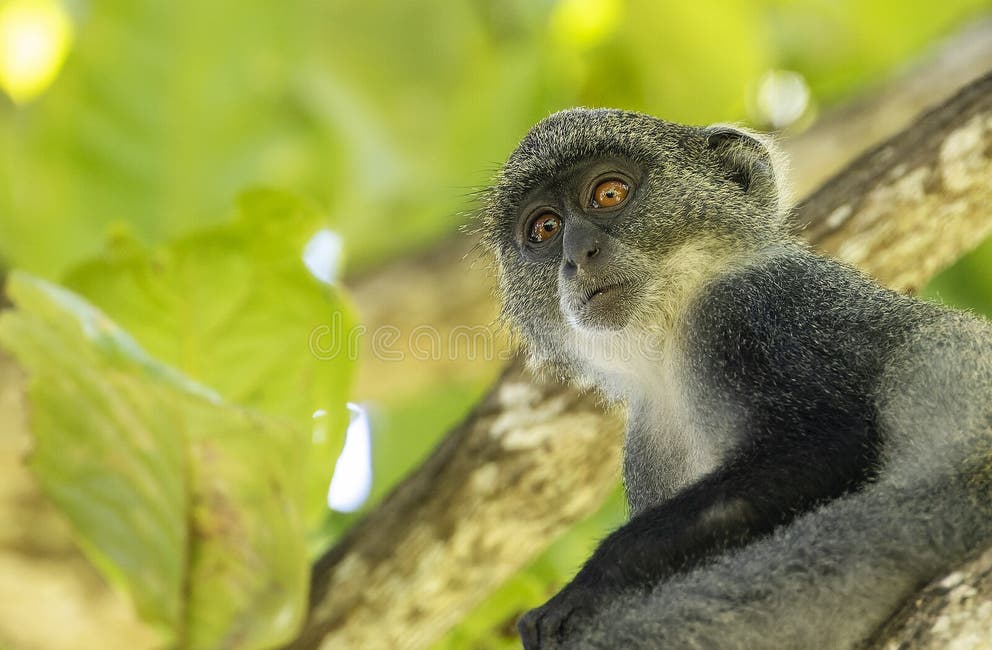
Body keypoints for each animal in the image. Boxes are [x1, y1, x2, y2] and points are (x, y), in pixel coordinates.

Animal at [480, 107, 992, 649]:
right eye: (545, 228)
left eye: (610, 194)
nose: (578, 254)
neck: (670, 340)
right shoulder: (646, 442)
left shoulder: (753, 306)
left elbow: (830, 444)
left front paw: (594, 580)